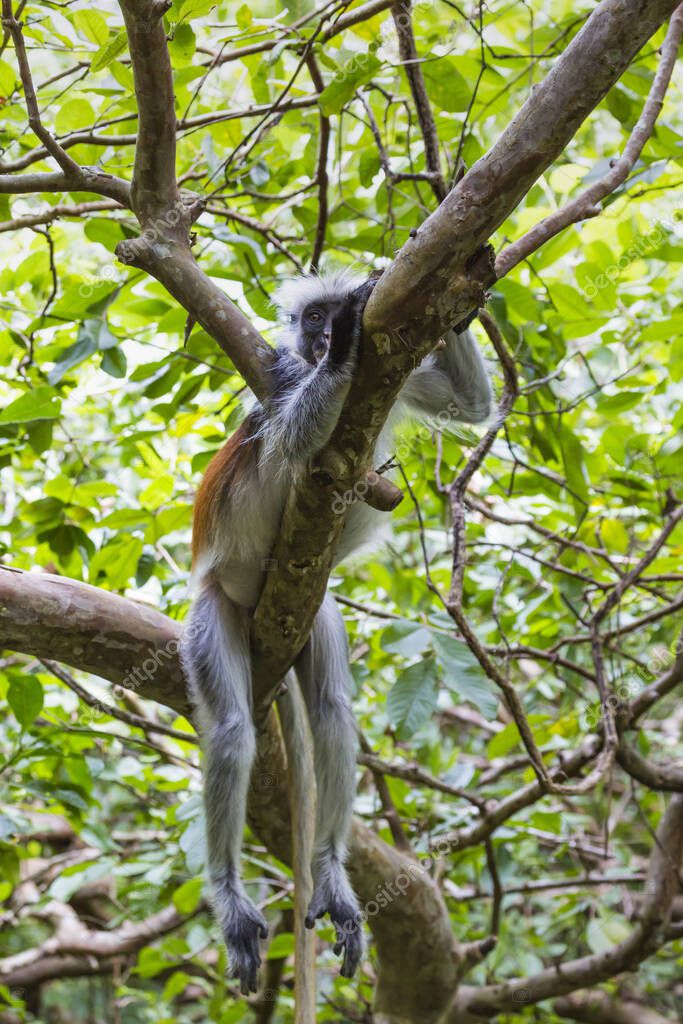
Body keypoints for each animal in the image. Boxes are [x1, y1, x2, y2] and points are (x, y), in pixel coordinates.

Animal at [181, 269, 492, 995]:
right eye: (313, 318)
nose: (325, 334)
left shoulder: (397, 374)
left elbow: (470, 407)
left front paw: (464, 307)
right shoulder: (281, 374)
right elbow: (292, 439)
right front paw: (349, 341)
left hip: (311, 614)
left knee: (331, 712)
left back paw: (329, 874)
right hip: (214, 610)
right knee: (231, 732)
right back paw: (231, 899)